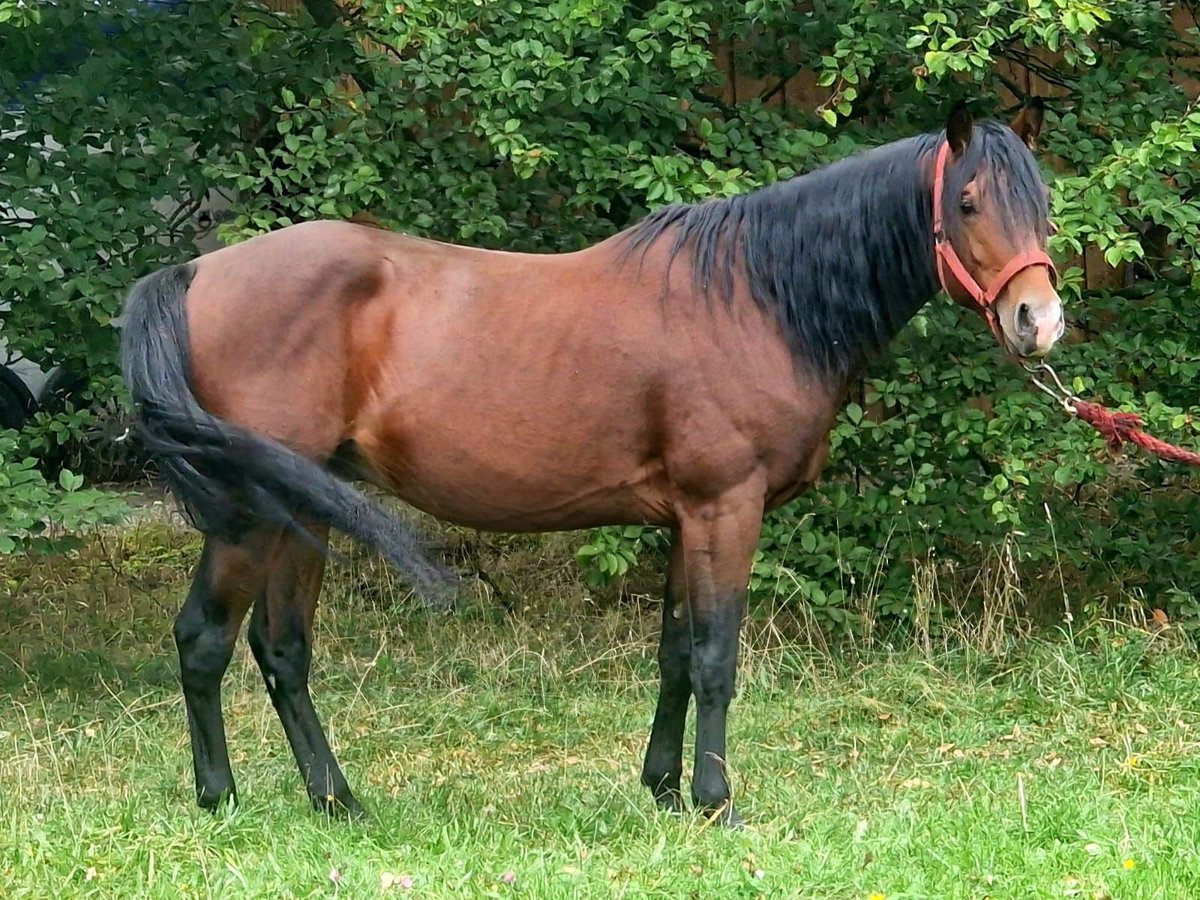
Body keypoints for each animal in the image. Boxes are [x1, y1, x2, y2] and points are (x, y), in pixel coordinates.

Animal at [119, 99, 1062, 826]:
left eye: (1043, 202)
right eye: (968, 202)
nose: (1039, 321)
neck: (754, 297)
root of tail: (196, 270)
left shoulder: (685, 517)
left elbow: (676, 654)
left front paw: (666, 791)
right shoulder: (726, 506)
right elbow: (717, 657)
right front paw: (717, 802)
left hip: (301, 507)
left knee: (282, 652)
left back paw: (337, 801)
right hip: (249, 512)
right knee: (204, 639)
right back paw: (220, 800)